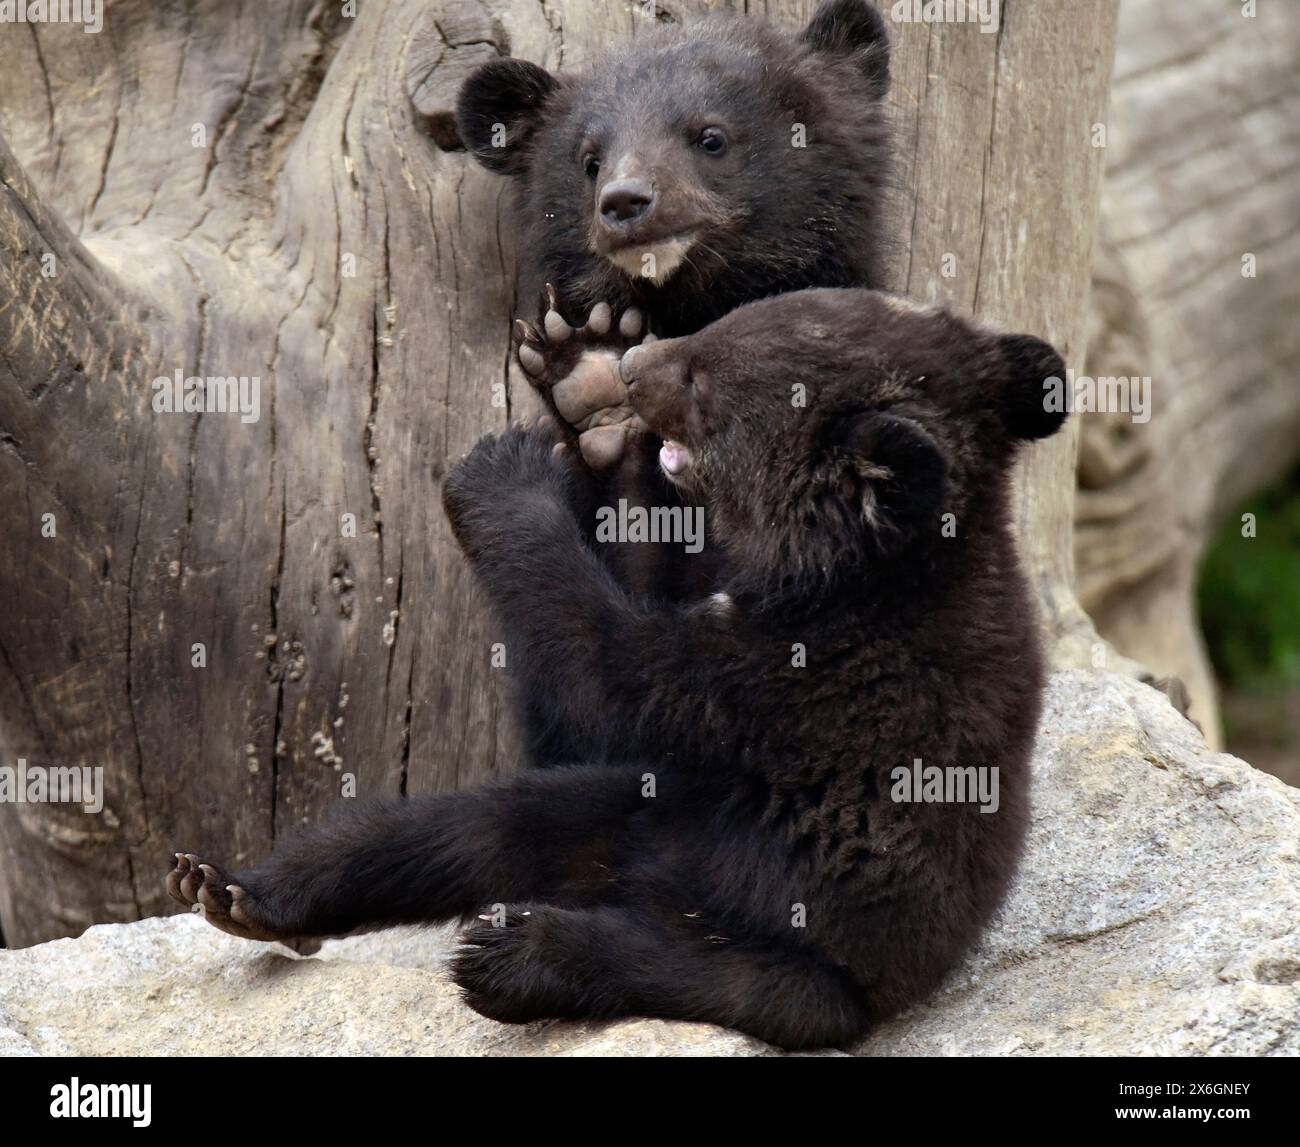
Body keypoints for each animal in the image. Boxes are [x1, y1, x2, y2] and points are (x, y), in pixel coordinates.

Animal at [167, 287, 1067, 1050]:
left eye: (704, 377)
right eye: (720, 325)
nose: (638, 364)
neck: (844, 572)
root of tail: (631, 884)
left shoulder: (805, 678)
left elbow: (609, 672)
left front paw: (509, 471)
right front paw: (584, 379)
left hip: (803, 961)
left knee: (673, 966)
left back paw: (516, 952)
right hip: (627, 816)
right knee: (458, 828)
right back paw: (239, 888)